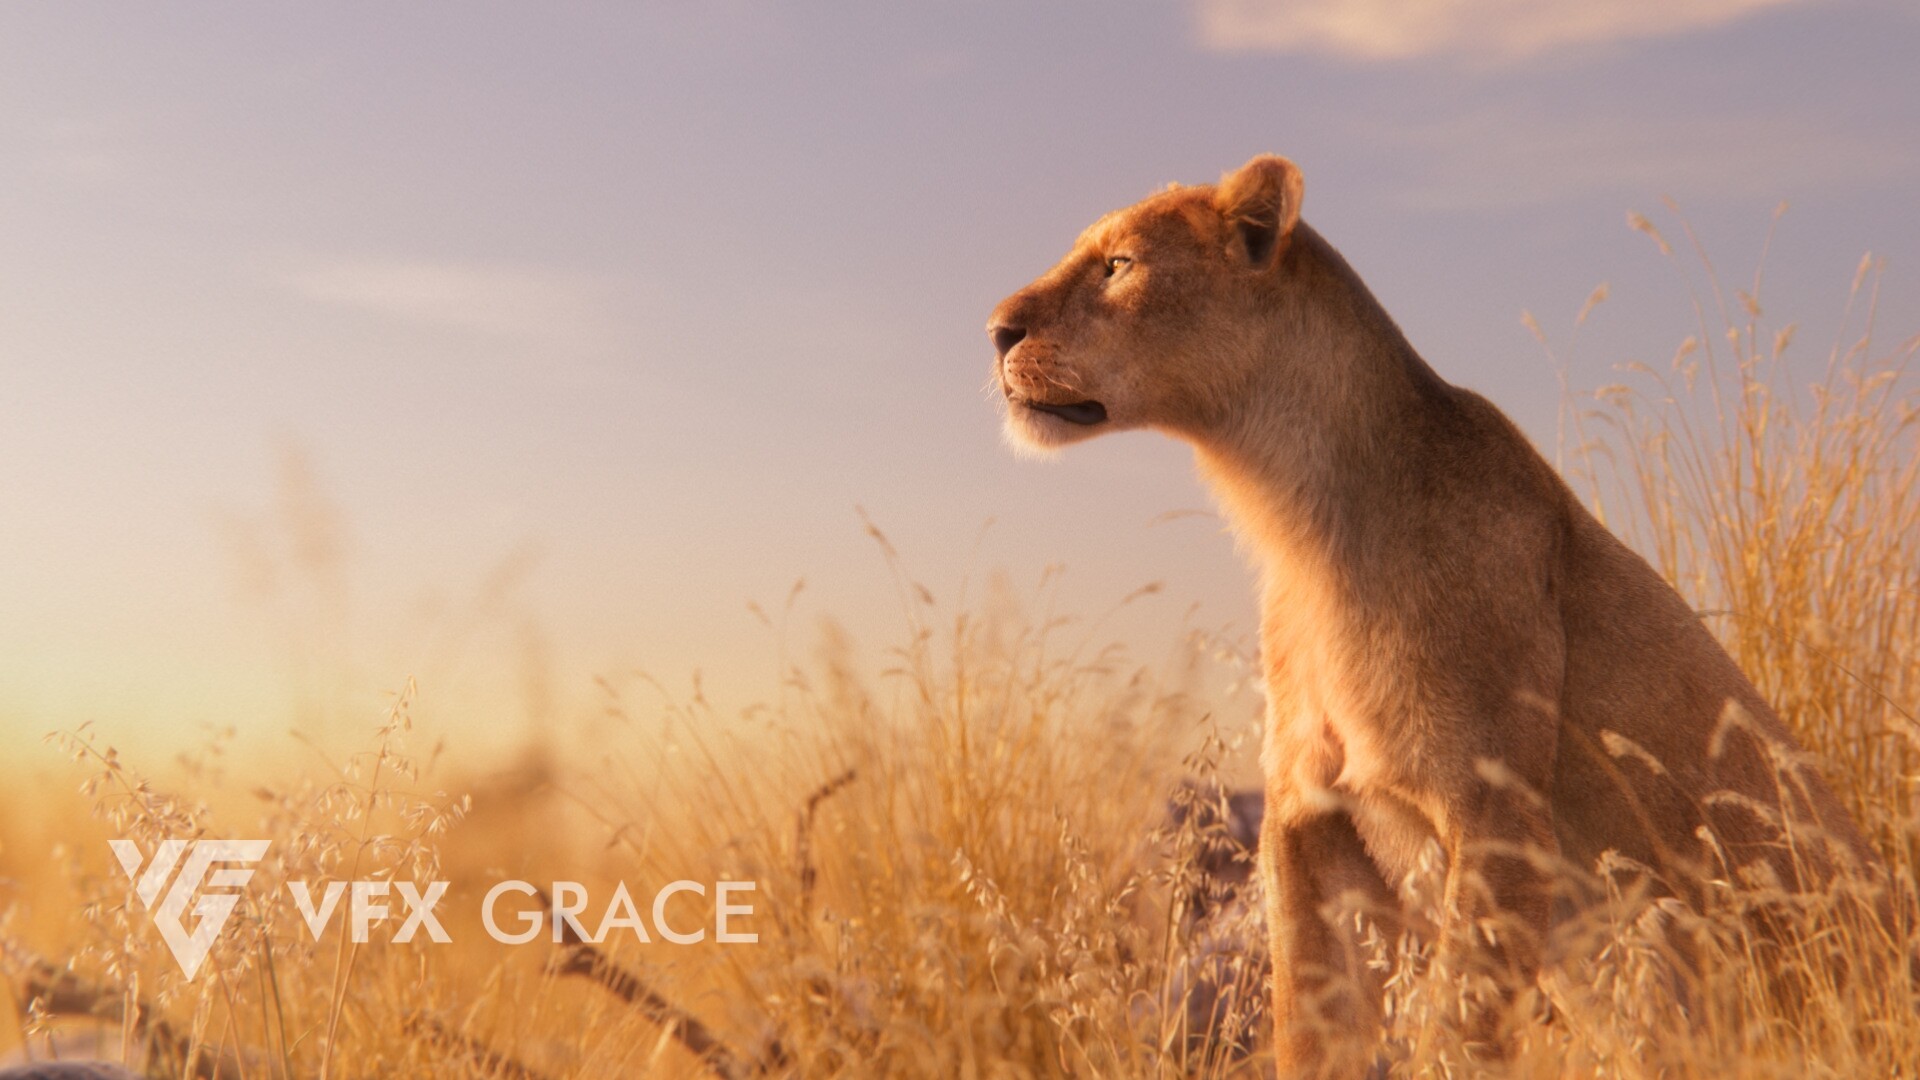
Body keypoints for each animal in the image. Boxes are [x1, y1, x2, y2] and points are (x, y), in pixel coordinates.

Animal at [987, 154, 1884, 1076]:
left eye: (1119, 265)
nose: (994, 331)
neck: (1299, 520)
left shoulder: (1494, 818)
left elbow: (1457, 1030)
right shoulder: (1310, 823)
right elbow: (1310, 1030)